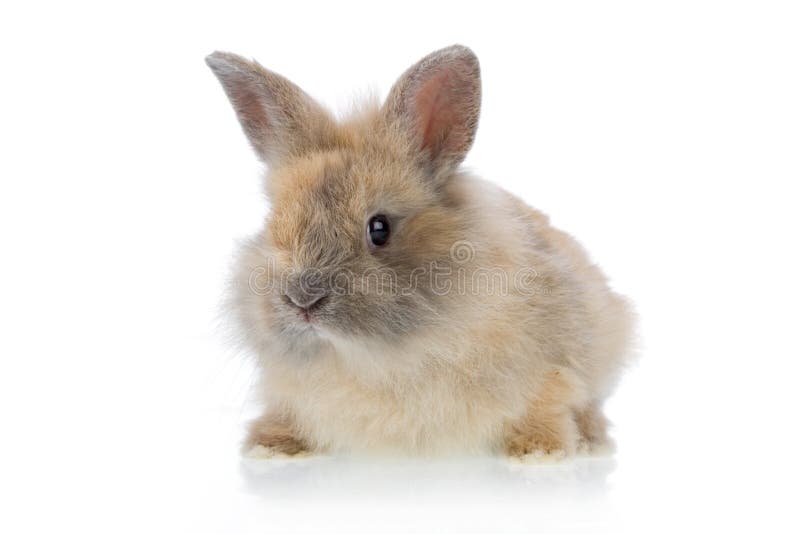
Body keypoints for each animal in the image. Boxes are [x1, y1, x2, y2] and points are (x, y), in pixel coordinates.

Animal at [206, 44, 634, 460]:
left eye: (379, 228)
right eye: (275, 220)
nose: (301, 300)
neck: (372, 360)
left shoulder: (551, 368)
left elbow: (547, 406)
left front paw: (540, 454)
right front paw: (268, 447)